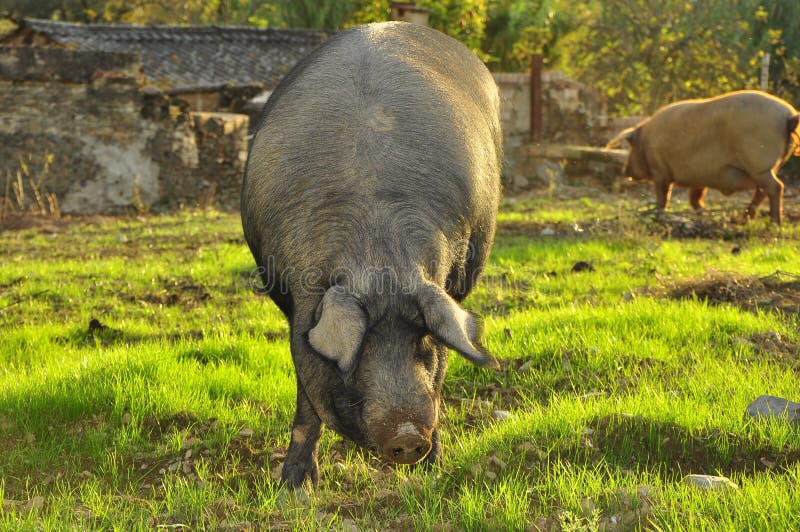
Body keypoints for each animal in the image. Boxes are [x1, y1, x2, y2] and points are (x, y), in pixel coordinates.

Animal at [240, 21, 502, 489]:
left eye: (424, 343)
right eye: (360, 352)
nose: (408, 436)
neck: (378, 256)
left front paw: (434, 471)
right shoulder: (298, 315)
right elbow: (307, 404)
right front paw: (294, 489)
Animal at [605, 90, 800, 223]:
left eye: (631, 147)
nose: (625, 170)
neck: (646, 140)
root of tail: (789, 115)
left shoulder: (660, 170)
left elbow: (663, 195)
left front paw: (661, 214)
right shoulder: (699, 178)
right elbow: (694, 198)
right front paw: (703, 212)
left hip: (759, 165)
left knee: (776, 187)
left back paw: (775, 222)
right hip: (763, 169)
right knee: (763, 191)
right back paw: (745, 218)